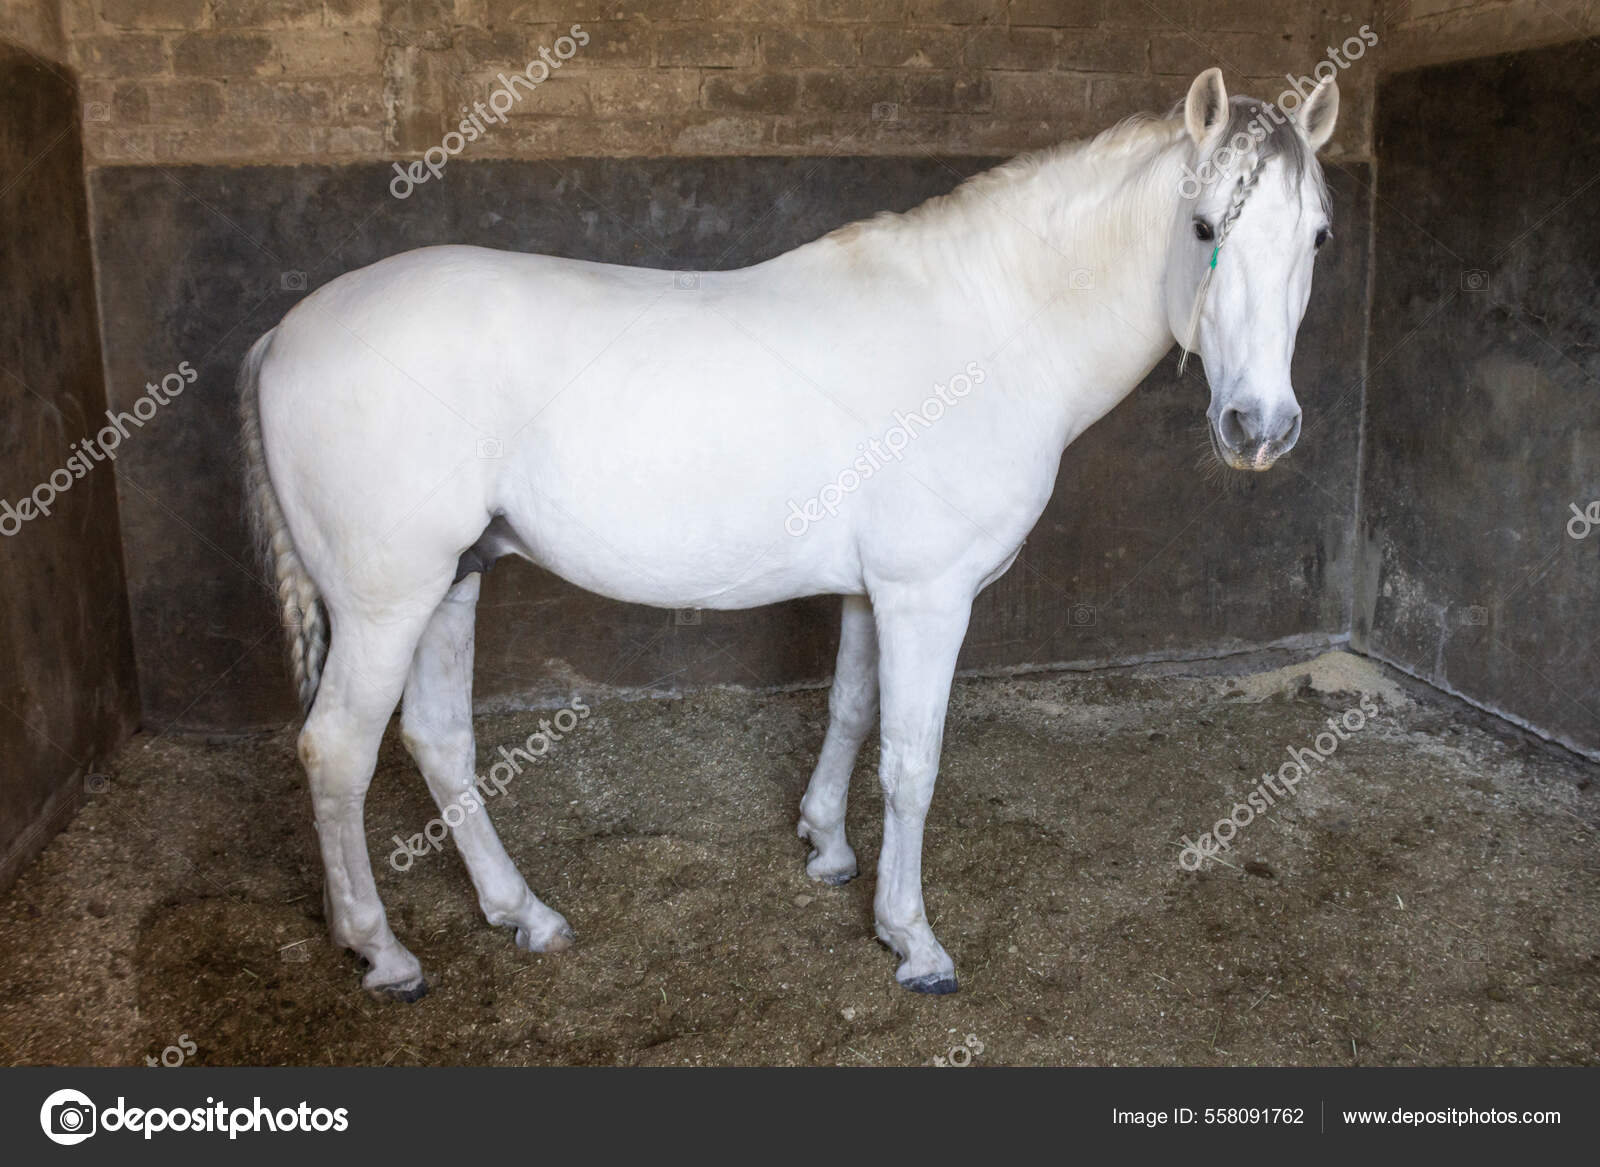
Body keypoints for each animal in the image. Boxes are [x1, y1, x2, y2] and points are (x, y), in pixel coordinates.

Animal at [239, 68, 1339, 1000]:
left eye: (1319, 236)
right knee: (338, 752)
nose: (1259, 428)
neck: (982, 332)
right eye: (1204, 225)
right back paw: (382, 952)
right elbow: (911, 761)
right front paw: (914, 941)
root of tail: (285, 333)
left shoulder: (868, 591)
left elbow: (849, 711)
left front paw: (827, 850)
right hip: (386, 602)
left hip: (453, 579)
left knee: (438, 739)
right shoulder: (926, 596)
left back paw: (525, 915)